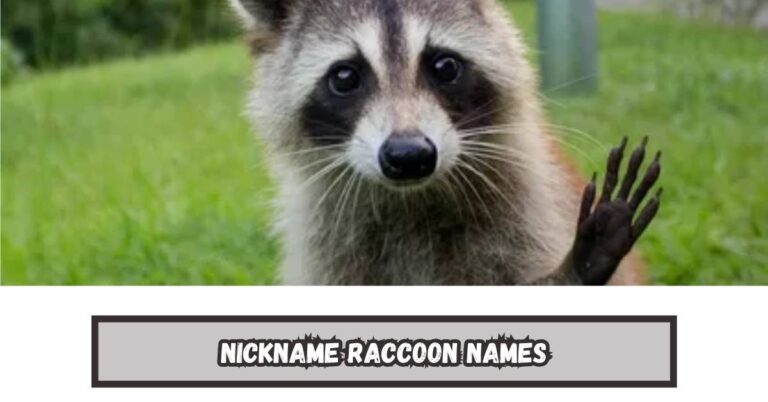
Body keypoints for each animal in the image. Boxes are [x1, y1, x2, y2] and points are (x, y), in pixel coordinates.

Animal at [229, 0, 662, 285]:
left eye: (445, 66)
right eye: (345, 77)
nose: (408, 156)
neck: (410, 200)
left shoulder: (531, 217)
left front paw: (574, 271)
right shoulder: (326, 248)